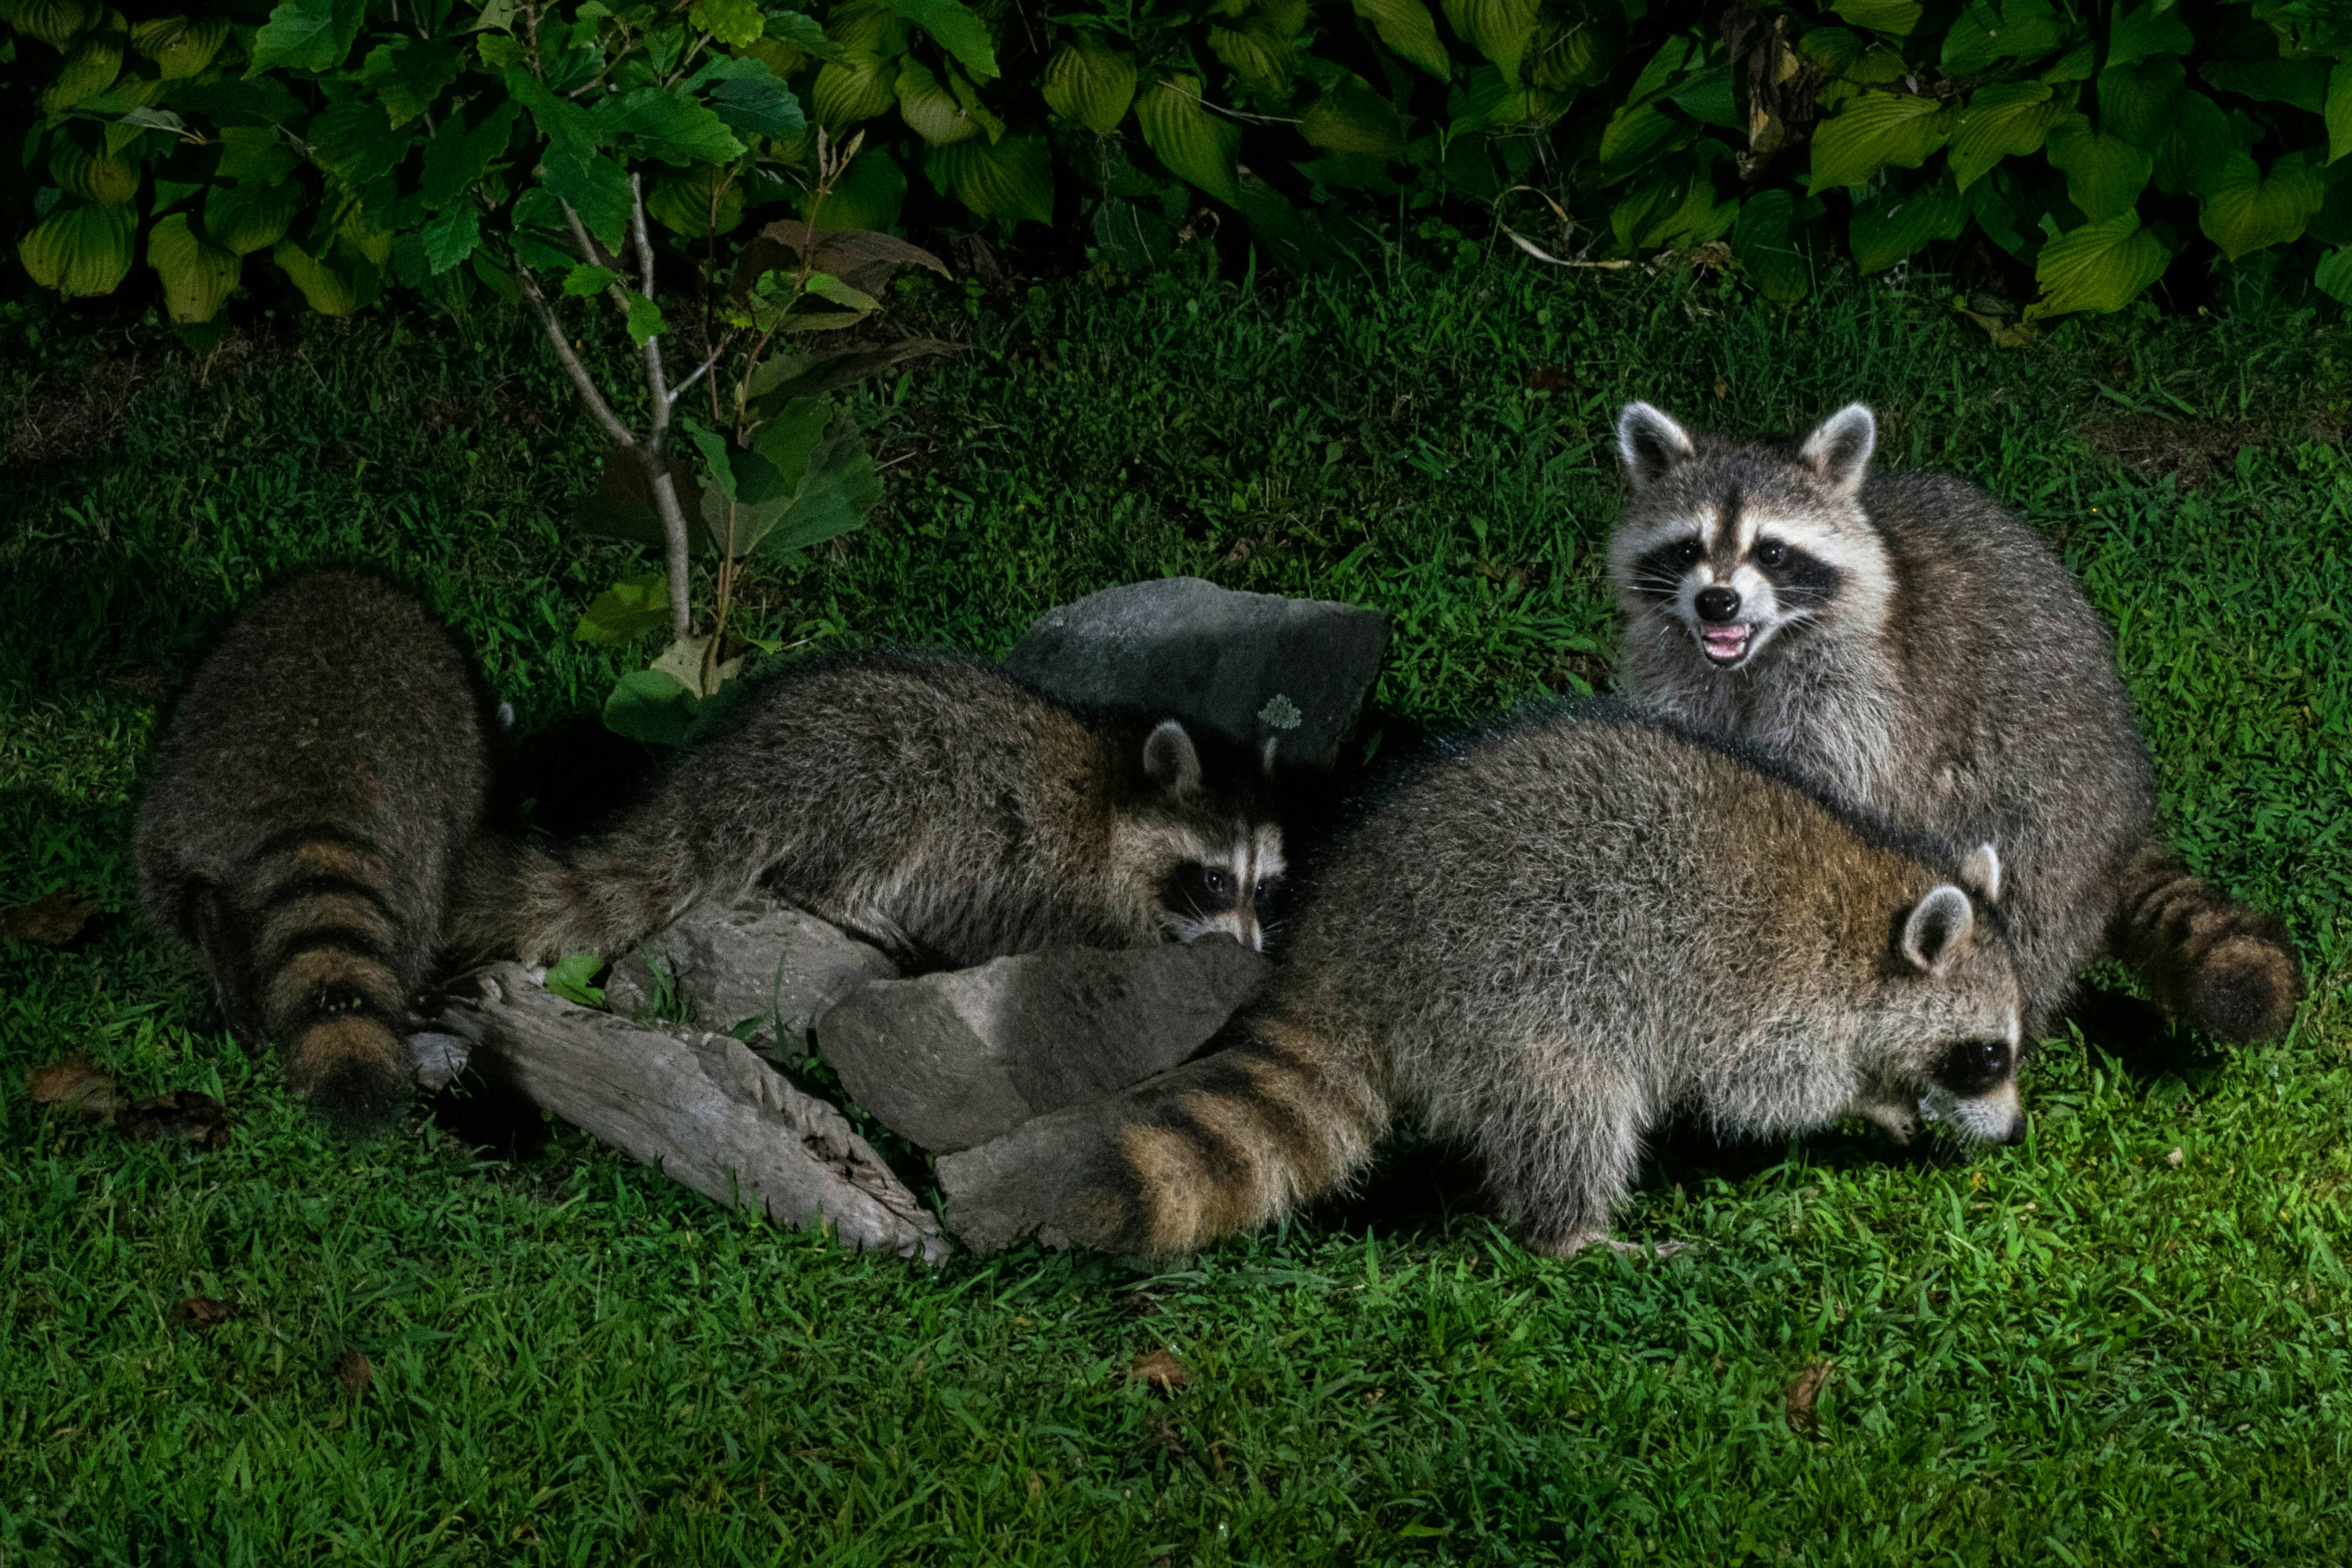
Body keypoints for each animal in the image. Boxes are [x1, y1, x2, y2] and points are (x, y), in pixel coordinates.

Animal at [452, 650, 1286, 970]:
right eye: (1215, 880)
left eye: (1265, 889)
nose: (1249, 953)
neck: (1117, 797)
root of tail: (727, 763)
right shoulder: (1068, 887)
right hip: (871, 772)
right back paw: (843, 894)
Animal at [952, 704, 2026, 1259]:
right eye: (1986, 1056)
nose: (2018, 1134)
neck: (1876, 903)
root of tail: (1347, 940)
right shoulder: (1764, 992)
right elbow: (1766, 1093)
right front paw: (1873, 1102)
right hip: (1508, 997)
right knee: (1574, 1108)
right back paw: (1575, 1233)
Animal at [1607, 401, 2301, 1044]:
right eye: (1688, 549)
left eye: (1772, 552)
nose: (1716, 602)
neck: (1752, 662)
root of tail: (2126, 825)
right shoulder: (1678, 681)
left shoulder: (1869, 704)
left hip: (2051, 811)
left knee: (2027, 911)